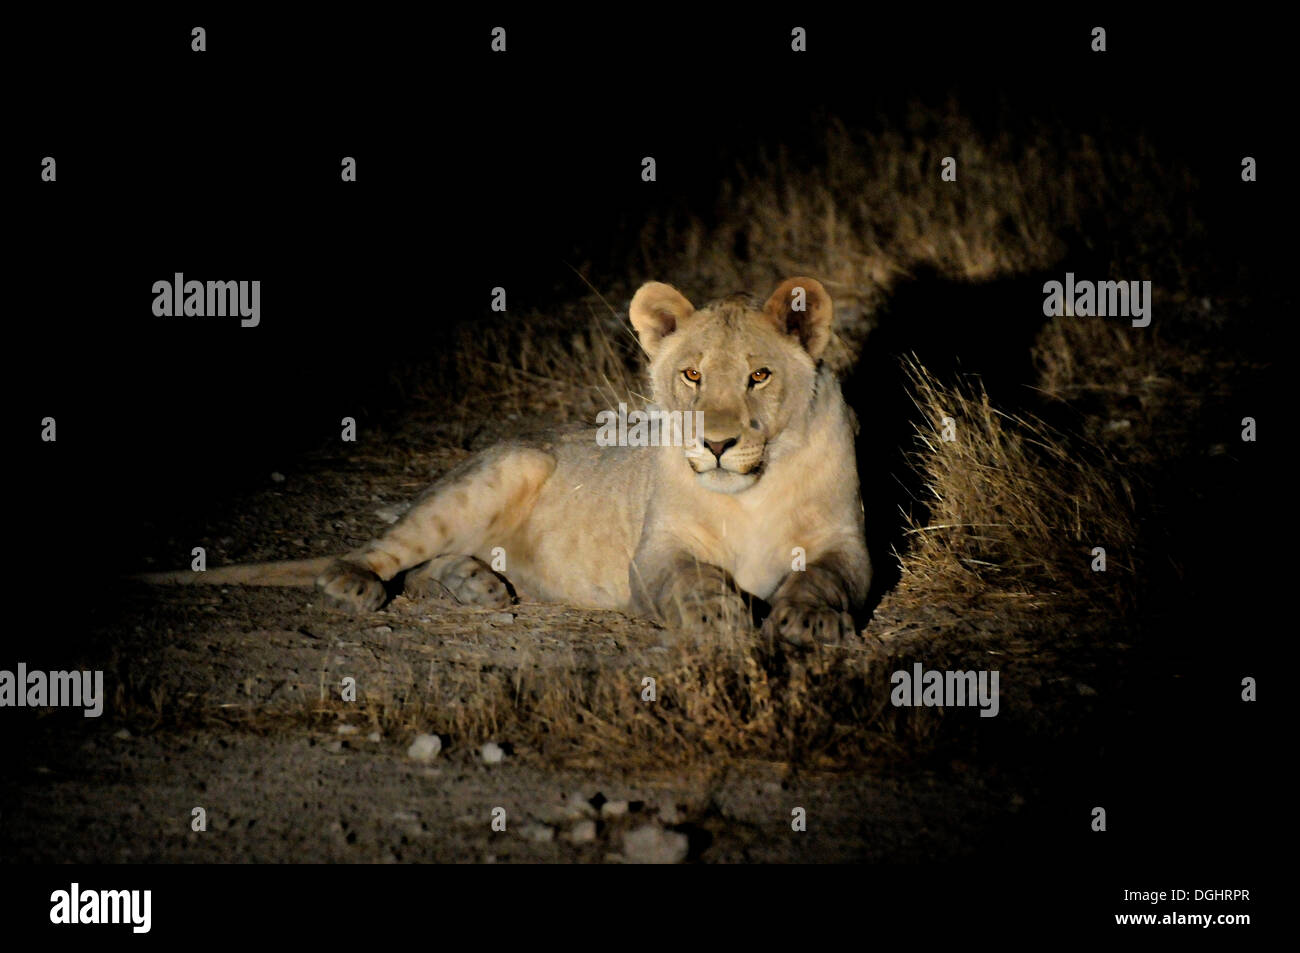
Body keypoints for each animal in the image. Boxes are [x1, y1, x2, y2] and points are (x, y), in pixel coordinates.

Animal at [139, 277, 871, 646]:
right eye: (691, 374)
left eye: (758, 375)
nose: (715, 444)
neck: (752, 488)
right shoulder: (654, 554)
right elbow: (695, 579)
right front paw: (721, 620)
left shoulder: (847, 544)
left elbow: (825, 578)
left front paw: (808, 622)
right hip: (505, 465)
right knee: (387, 551)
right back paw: (359, 583)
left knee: (433, 565)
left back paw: (478, 584)